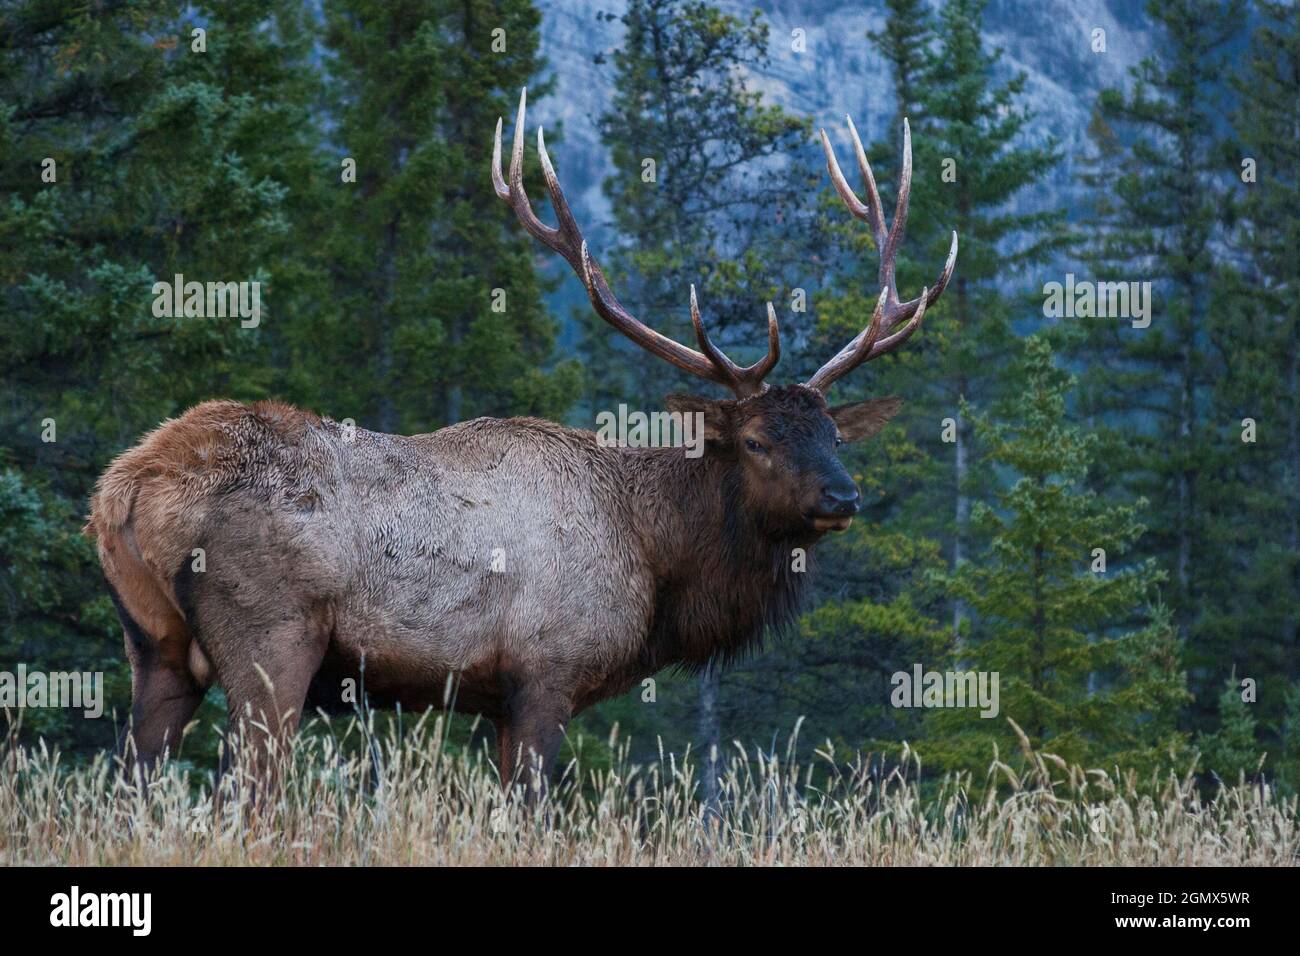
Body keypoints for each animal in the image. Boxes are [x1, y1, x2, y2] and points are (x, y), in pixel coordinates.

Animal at [86, 89, 956, 793]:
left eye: (833, 433)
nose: (842, 496)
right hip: (273, 639)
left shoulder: (494, 701)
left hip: (154, 647)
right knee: (244, 792)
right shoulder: (545, 673)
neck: (657, 560)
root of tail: (128, 487)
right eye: (755, 441)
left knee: (132, 781)